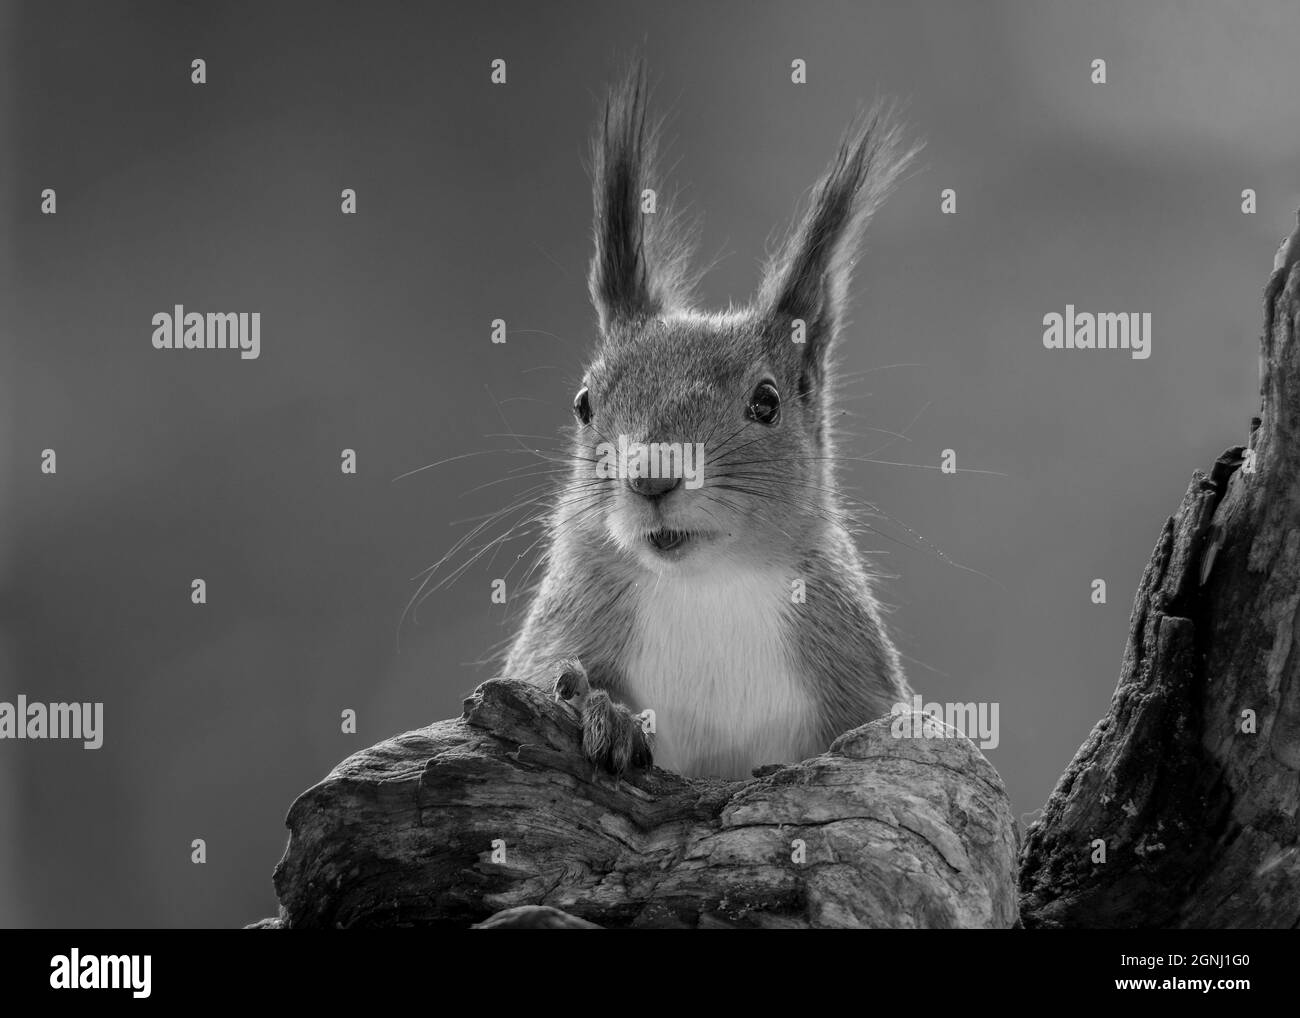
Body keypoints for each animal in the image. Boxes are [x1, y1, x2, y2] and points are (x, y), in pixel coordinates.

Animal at [503, 65, 920, 780]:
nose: (652, 477)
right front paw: (604, 710)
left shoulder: (859, 676)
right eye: (584, 403)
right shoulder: (560, 628)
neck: (705, 586)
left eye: (767, 402)